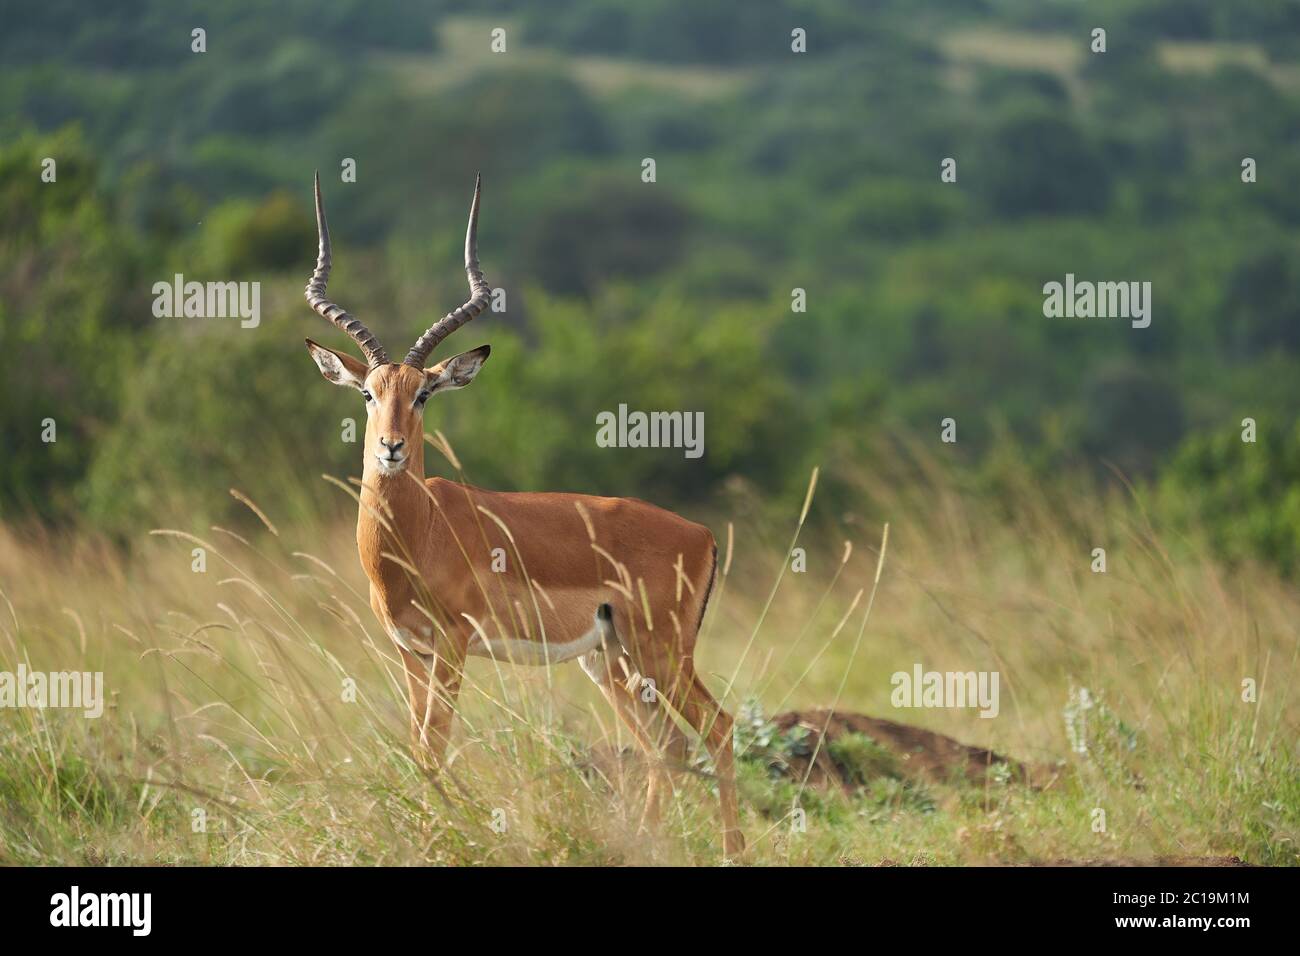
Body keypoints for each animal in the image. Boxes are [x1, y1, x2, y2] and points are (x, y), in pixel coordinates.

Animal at [302, 173, 744, 856]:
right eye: (368, 392)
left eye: (423, 393)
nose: (391, 448)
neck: (418, 534)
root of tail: (701, 535)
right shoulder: (409, 651)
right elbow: (418, 750)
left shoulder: (453, 646)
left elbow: (434, 749)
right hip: (611, 661)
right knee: (665, 745)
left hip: (662, 652)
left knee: (718, 730)